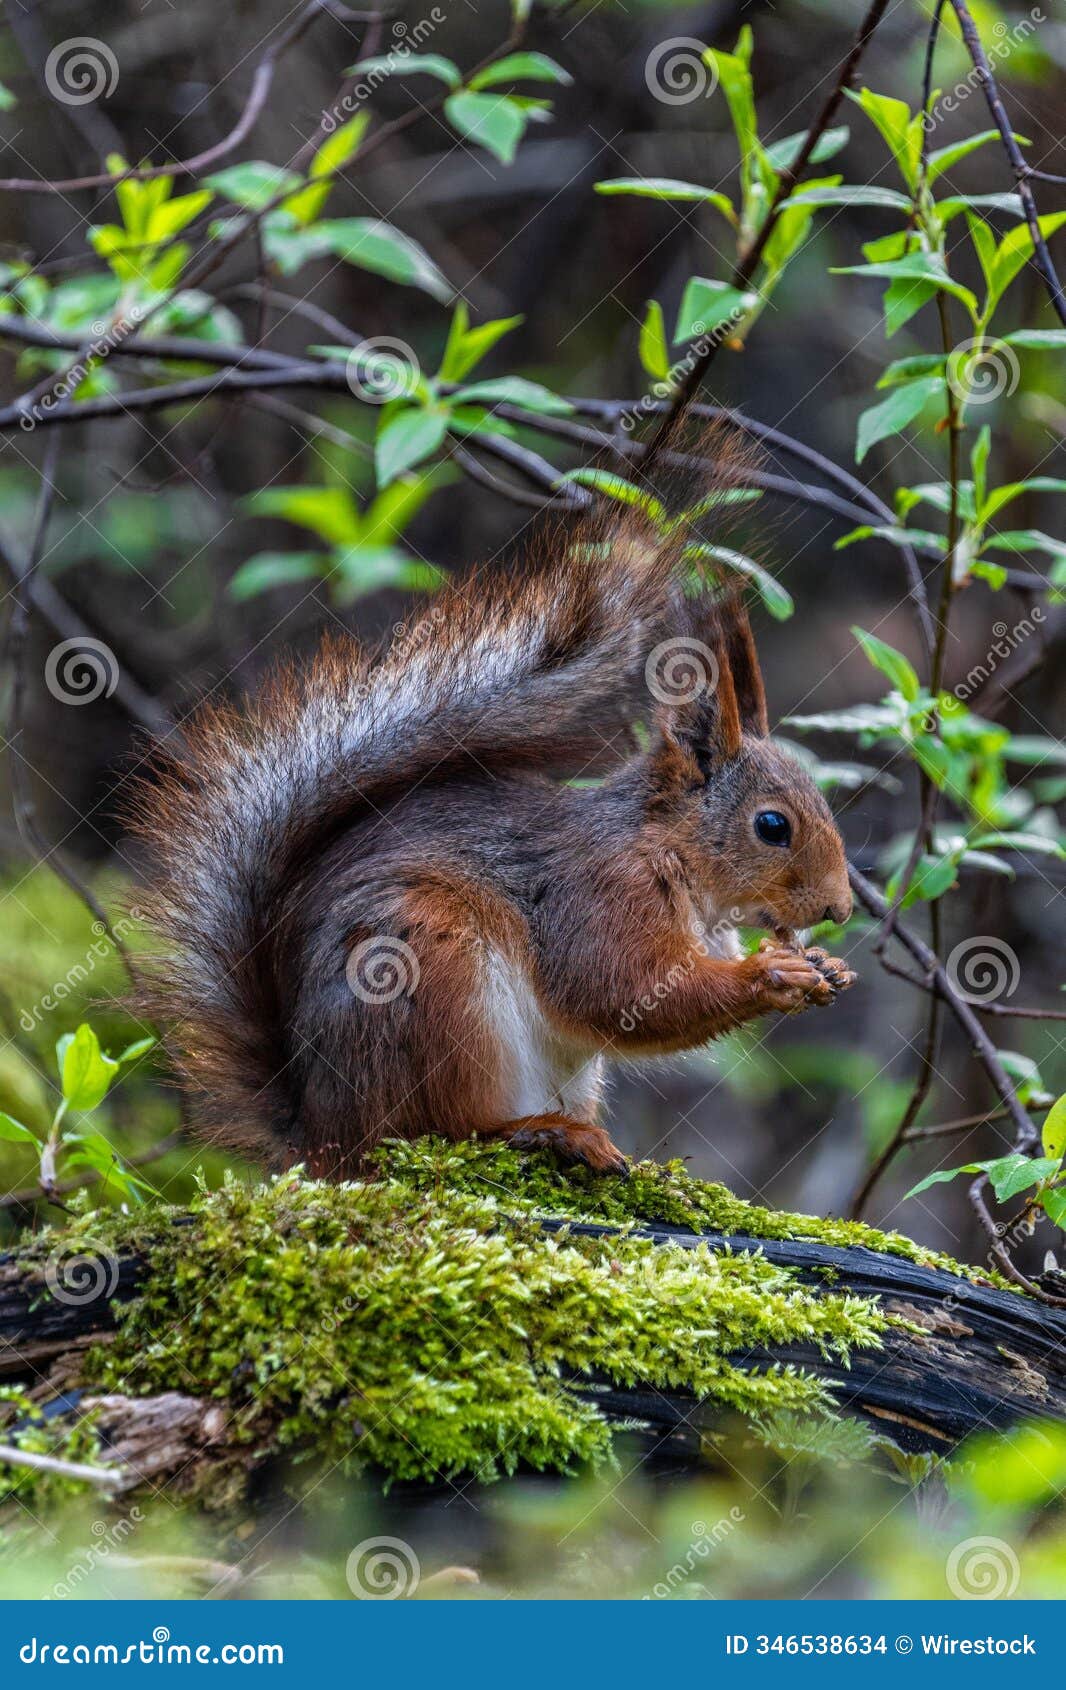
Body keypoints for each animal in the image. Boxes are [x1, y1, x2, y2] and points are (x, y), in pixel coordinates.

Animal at [130, 429, 856, 1179]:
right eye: (772, 826)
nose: (839, 909)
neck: (672, 853)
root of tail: (318, 1137)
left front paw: (826, 966)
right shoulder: (599, 895)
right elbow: (623, 993)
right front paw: (770, 972)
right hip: (427, 975)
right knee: (441, 1128)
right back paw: (545, 1132)